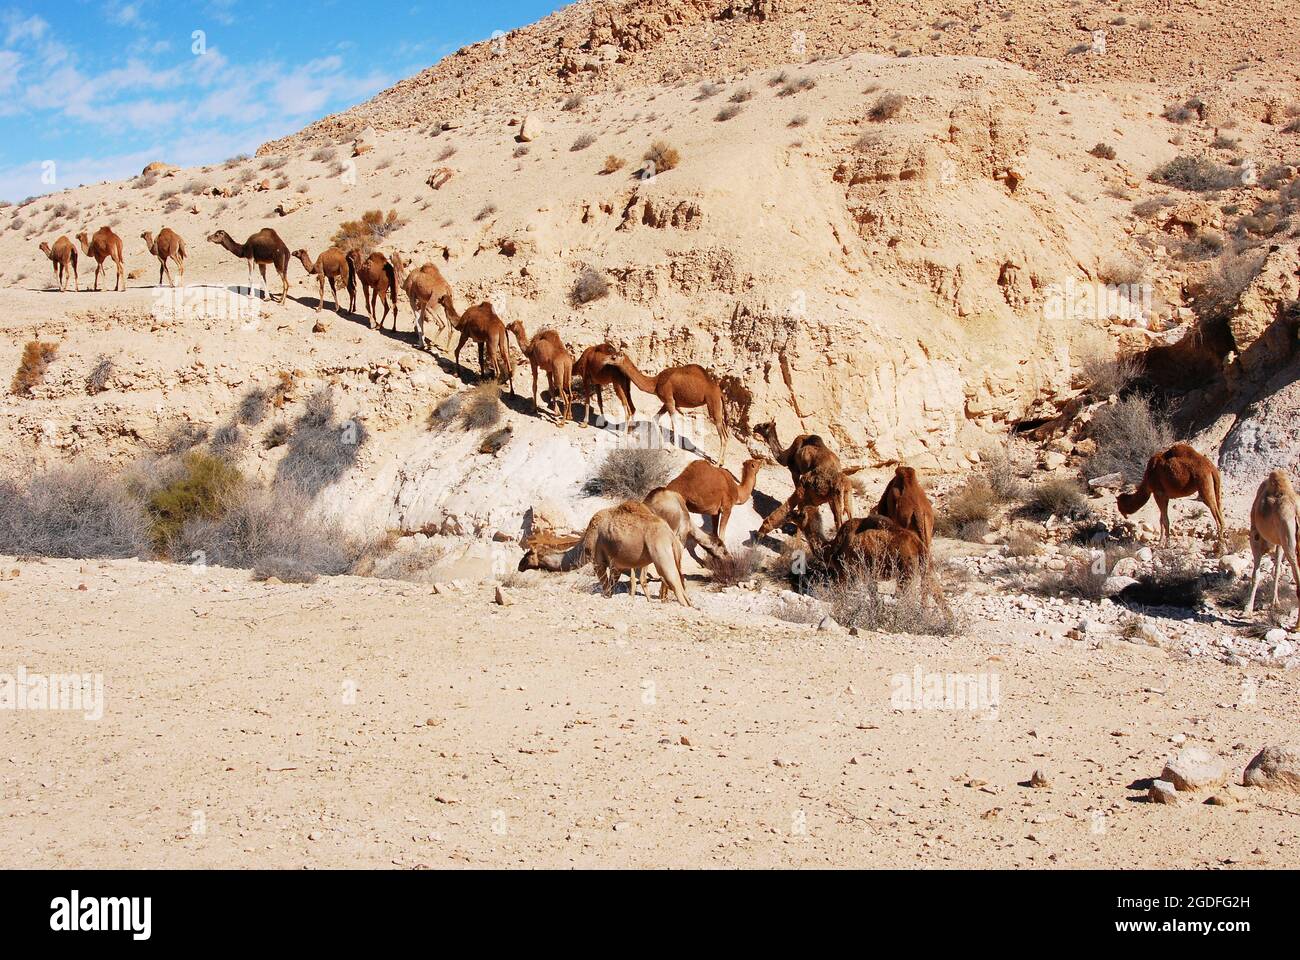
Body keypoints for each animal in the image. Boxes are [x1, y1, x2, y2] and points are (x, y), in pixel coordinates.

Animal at [517, 501, 691, 605]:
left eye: (527, 555)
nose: (519, 566)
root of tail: (670, 535)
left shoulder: (598, 562)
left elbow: (606, 589)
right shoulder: (617, 565)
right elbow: (613, 587)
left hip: (660, 552)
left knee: (674, 581)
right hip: (672, 554)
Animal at [1244, 469, 1300, 628]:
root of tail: (1296, 509)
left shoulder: (1255, 536)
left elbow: (1256, 575)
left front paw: (1247, 610)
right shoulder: (1279, 542)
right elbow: (1277, 570)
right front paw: (1275, 603)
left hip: (1288, 538)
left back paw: (1296, 626)